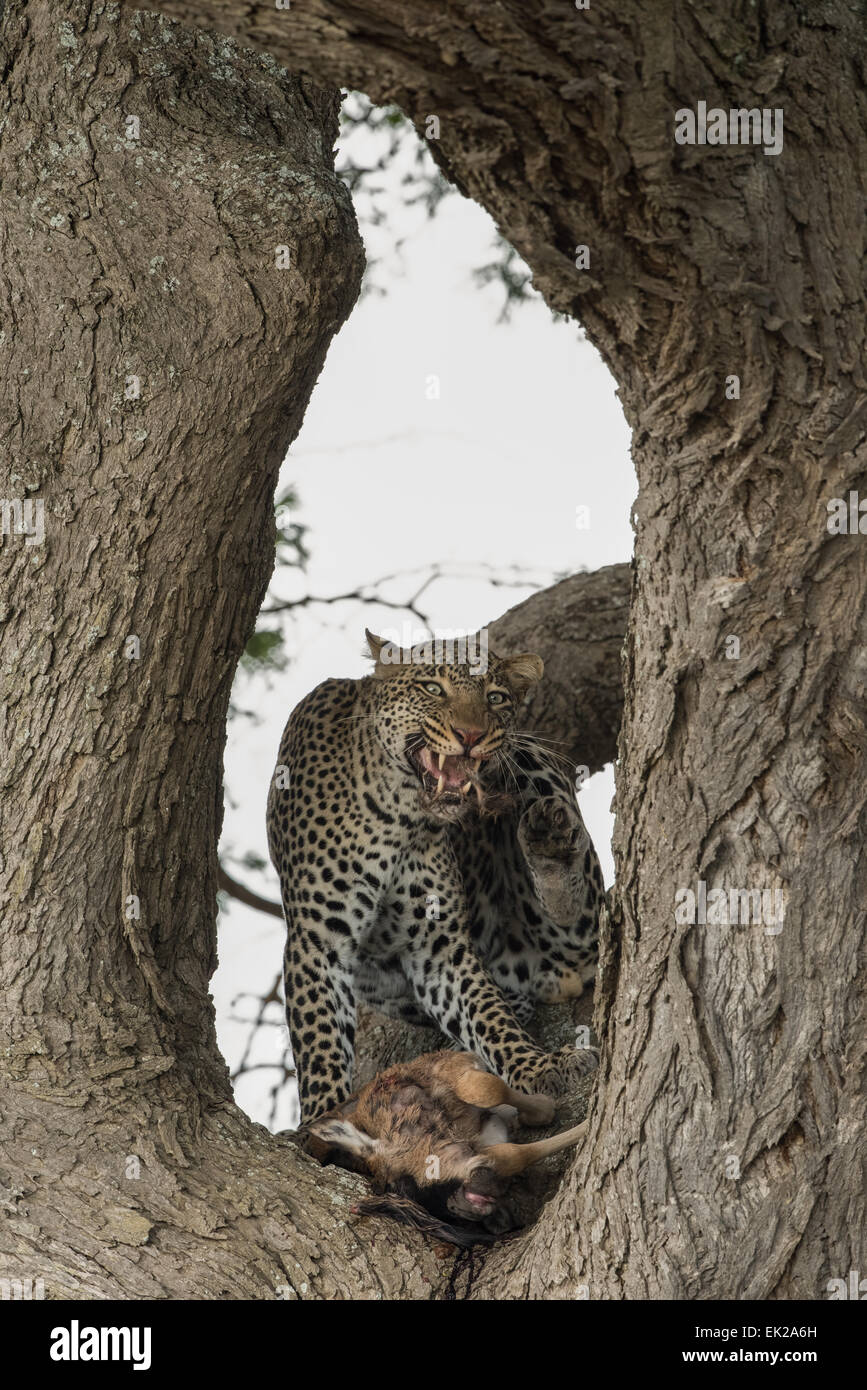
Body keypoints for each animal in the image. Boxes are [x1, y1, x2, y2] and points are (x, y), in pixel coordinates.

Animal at [266, 629, 605, 1123]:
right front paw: (321, 1120)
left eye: (496, 697)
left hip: (528, 758)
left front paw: (537, 1066)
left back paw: (549, 839)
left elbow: (488, 1015)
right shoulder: (317, 939)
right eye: (431, 689)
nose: (471, 735)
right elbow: (320, 1040)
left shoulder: (439, 945)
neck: (397, 811)